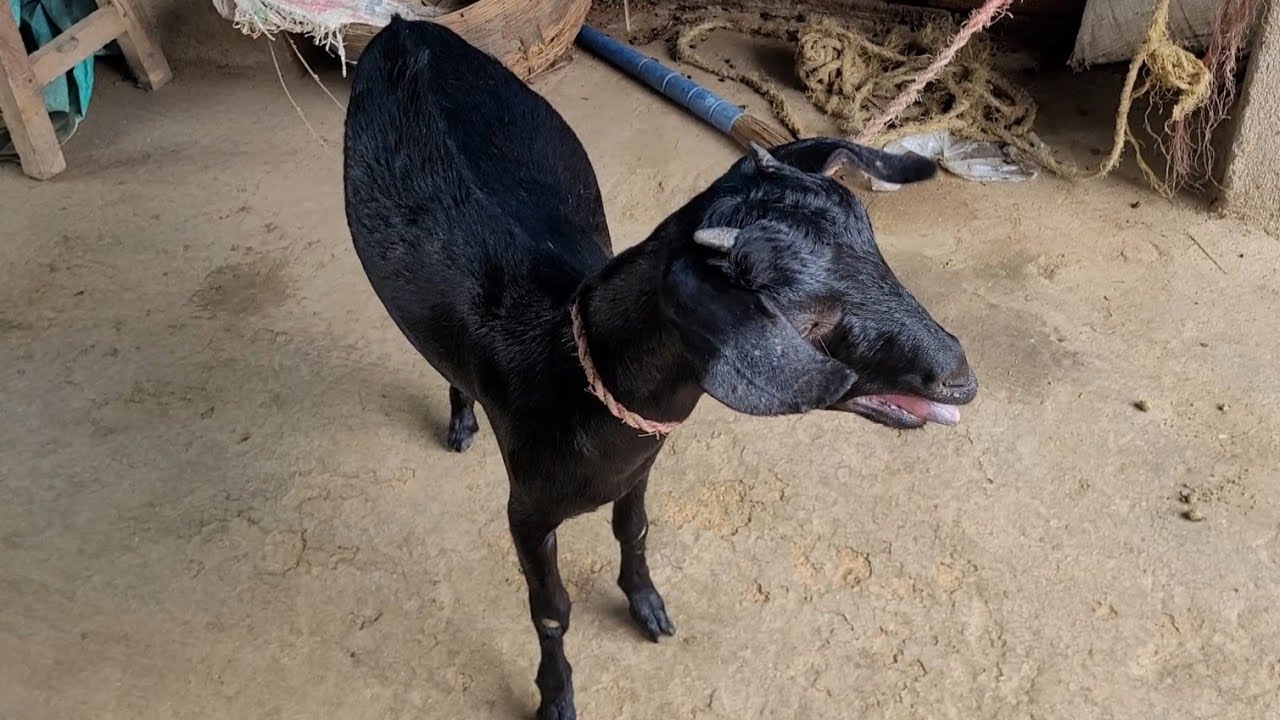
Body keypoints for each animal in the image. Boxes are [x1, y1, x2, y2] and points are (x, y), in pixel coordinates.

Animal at [343, 18, 977, 720]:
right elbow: (552, 611)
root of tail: (405, 28)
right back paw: (460, 420)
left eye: (875, 247)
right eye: (807, 318)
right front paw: (556, 696)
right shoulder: (526, 511)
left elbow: (635, 529)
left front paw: (646, 605)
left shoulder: (640, 466)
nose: (960, 377)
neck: (573, 380)